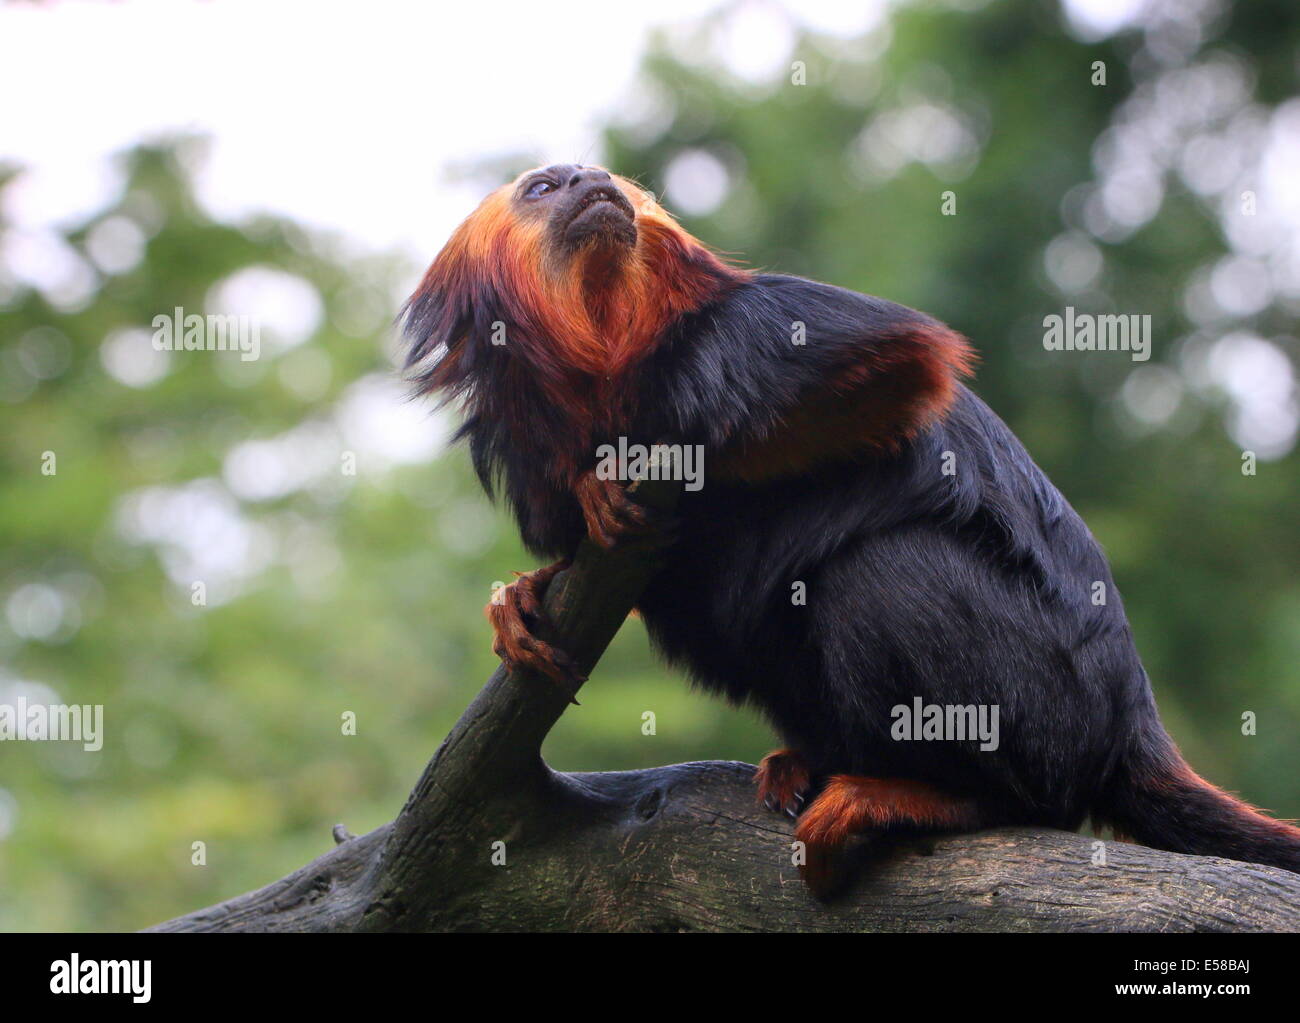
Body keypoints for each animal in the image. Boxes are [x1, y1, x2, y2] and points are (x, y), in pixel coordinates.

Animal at [401, 163, 1300, 897]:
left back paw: (944, 796)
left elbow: (899, 359)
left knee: (884, 572)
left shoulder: (746, 324)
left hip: (1055, 712)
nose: (591, 181)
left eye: (594, 177)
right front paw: (529, 589)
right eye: (544, 188)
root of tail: (1128, 714)